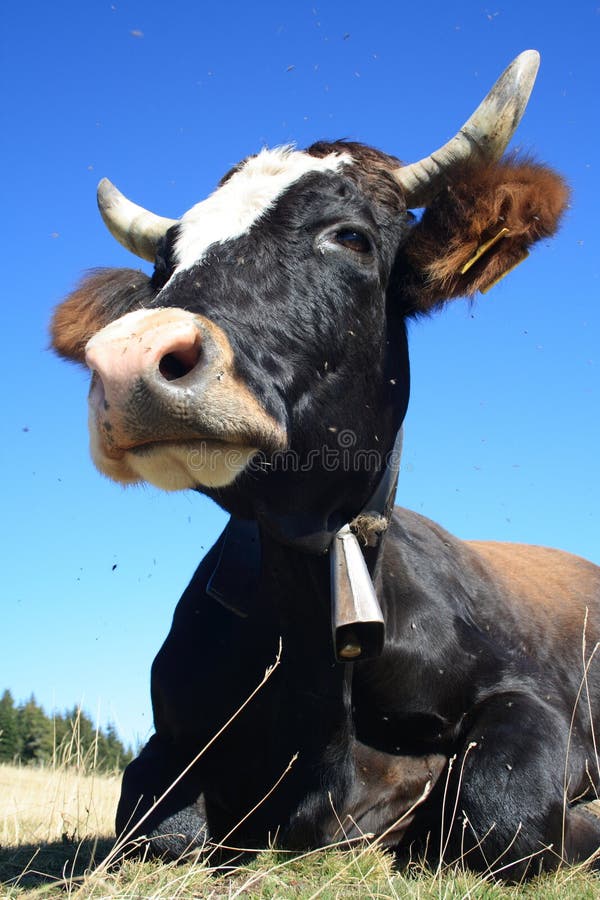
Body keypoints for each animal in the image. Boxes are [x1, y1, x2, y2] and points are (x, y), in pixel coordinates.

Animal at [51, 51, 600, 879]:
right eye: (158, 271)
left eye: (352, 238)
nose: (128, 359)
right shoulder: (171, 732)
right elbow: (158, 827)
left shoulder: (534, 697)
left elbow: (497, 812)